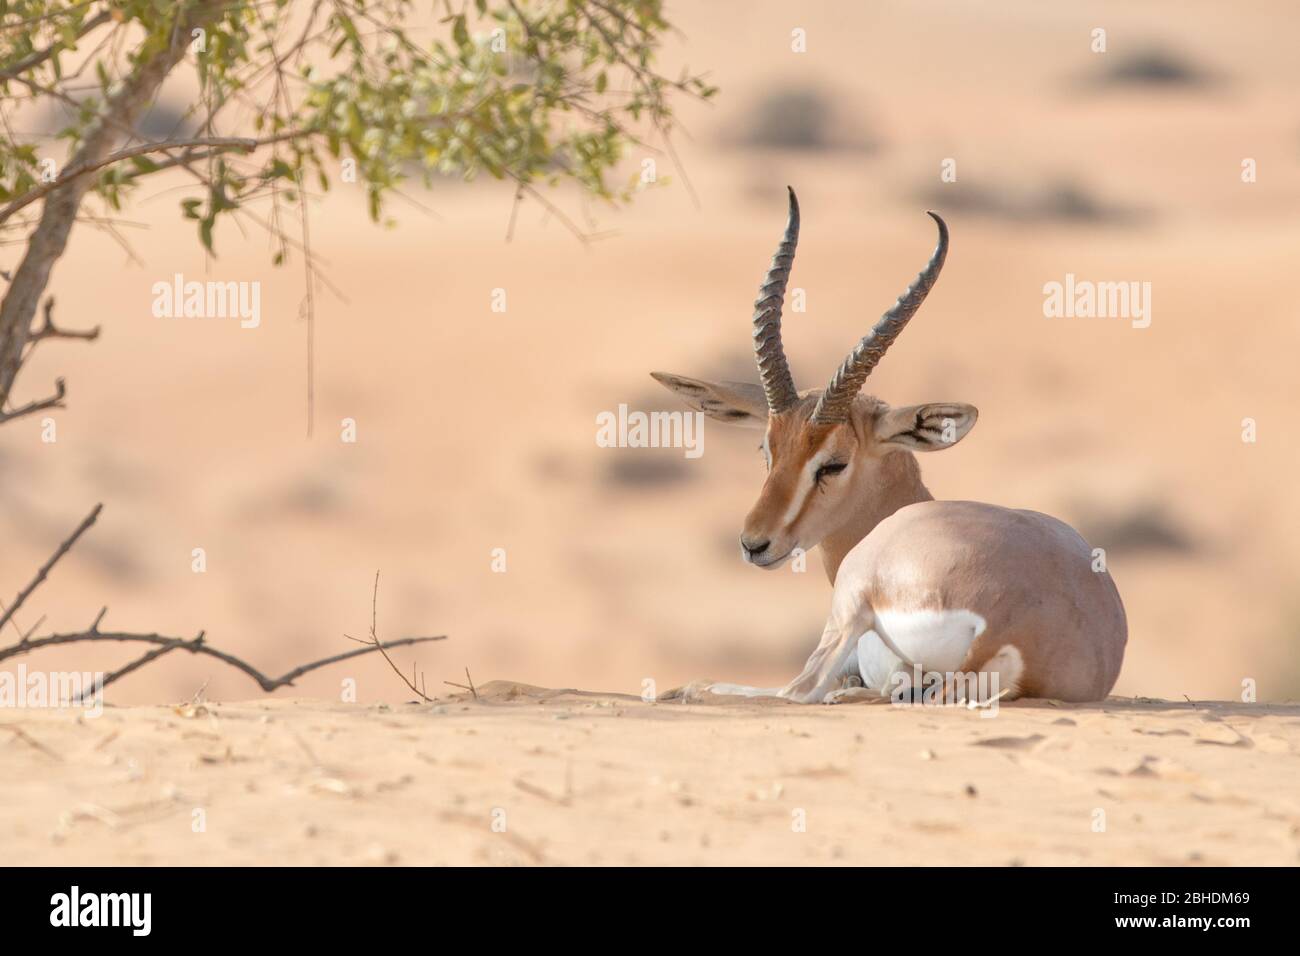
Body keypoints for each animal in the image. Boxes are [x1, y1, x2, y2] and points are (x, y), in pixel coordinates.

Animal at [652, 188, 1126, 705]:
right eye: (767, 450)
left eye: (834, 463)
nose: (755, 544)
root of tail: (1009, 622)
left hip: (851, 602)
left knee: (795, 691)